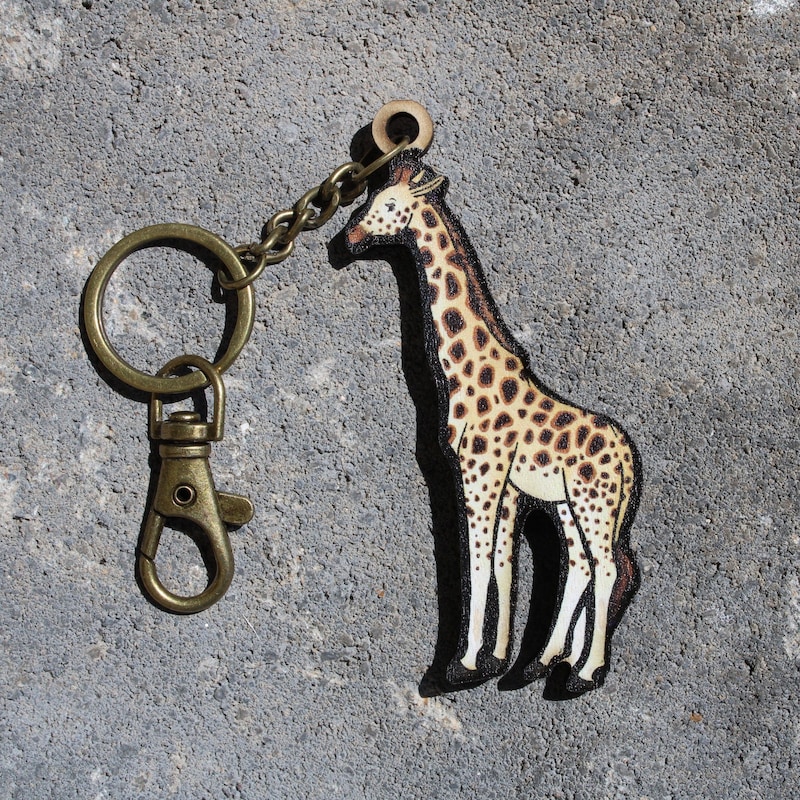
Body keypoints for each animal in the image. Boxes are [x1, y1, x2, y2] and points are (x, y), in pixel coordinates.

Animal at [342, 150, 641, 692]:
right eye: (368, 199)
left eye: (388, 204)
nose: (350, 238)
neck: (466, 371)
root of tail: (628, 456)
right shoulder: (509, 488)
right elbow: (503, 564)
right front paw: (494, 658)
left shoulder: (479, 473)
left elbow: (479, 563)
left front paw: (461, 663)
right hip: (568, 504)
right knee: (580, 566)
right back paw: (545, 661)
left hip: (595, 501)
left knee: (609, 567)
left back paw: (585, 670)